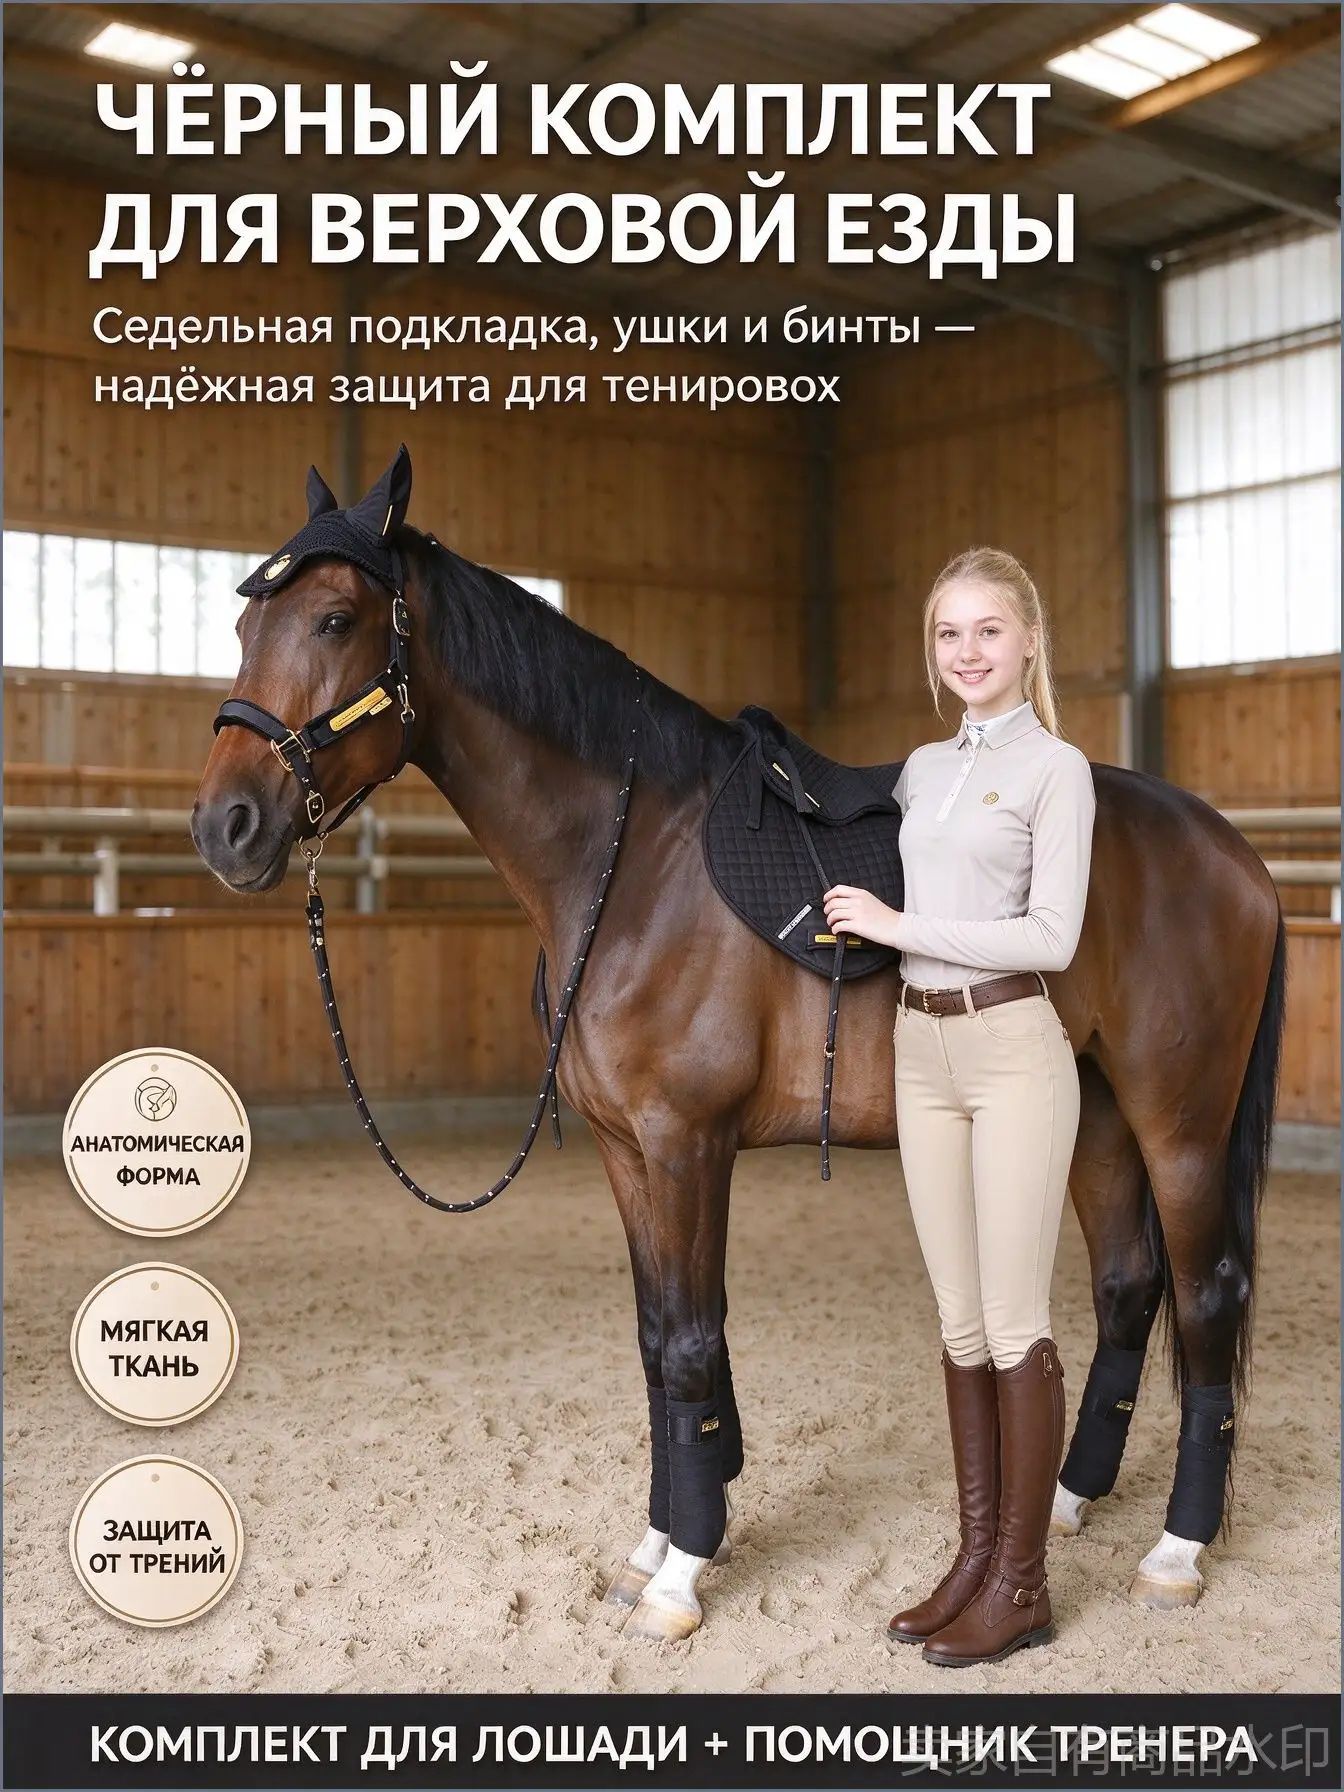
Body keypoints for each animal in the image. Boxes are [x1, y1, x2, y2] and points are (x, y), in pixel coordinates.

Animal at [192, 452, 1285, 1644]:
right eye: (243, 625)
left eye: (336, 618)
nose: (224, 829)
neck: (634, 864)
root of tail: (1232, 853)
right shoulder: (626, 1151)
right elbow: (654, 1339)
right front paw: (653, 1544)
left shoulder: (687, 1143)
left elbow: (690, 1344)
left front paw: (683, 1573)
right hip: (1093, 1118)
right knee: (1130, 1287)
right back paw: (1072, 1500)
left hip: (1179, 1122)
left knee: (1208, 1295)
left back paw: (1176, 1551)